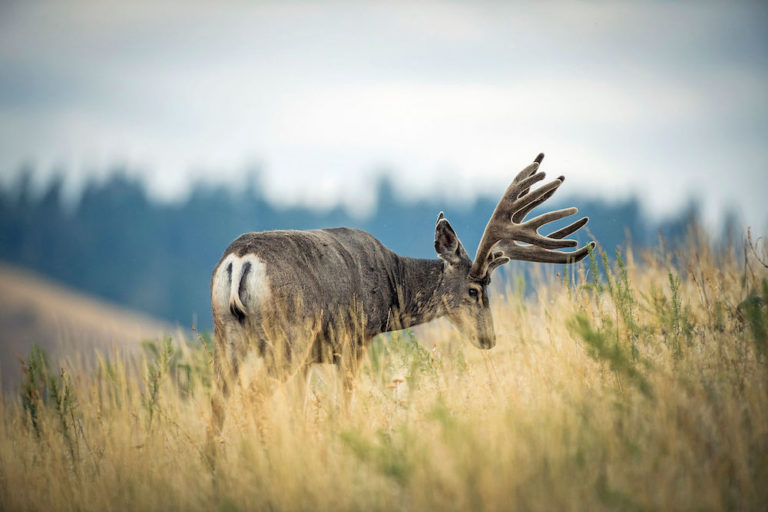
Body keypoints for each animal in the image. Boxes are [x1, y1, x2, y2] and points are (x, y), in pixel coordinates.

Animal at [206, 153, 594, 458]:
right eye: (474, 289)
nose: (489, 339)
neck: (392, 285)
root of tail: (240, 260)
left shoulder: (311, 360)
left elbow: (298, 411)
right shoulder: (353, 340)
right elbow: (340, 408)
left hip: (228, 336)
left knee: (218, 401)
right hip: (288, 336)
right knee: (253, 394)